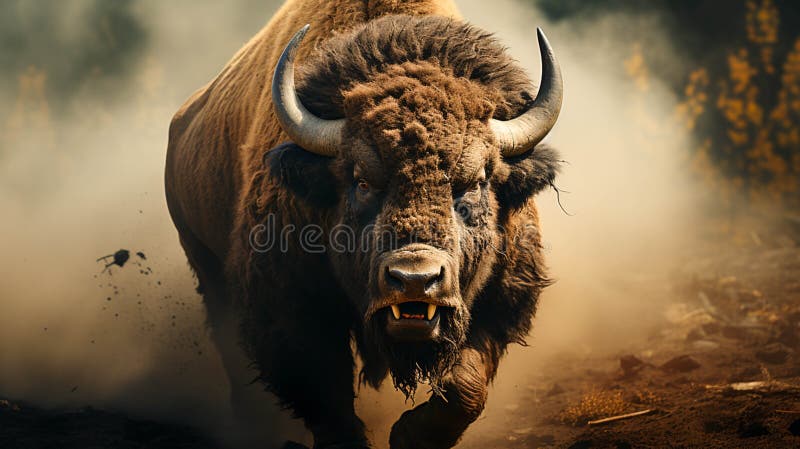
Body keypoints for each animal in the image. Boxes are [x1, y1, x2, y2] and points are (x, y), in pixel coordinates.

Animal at [165, 1, 563, 448]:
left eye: (476, 182)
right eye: (361, 181)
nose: (415, 279)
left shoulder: (502, 301)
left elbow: (466, 386)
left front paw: (410, 435)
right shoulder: (291, 313)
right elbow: (326, 399)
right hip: (207, 270)